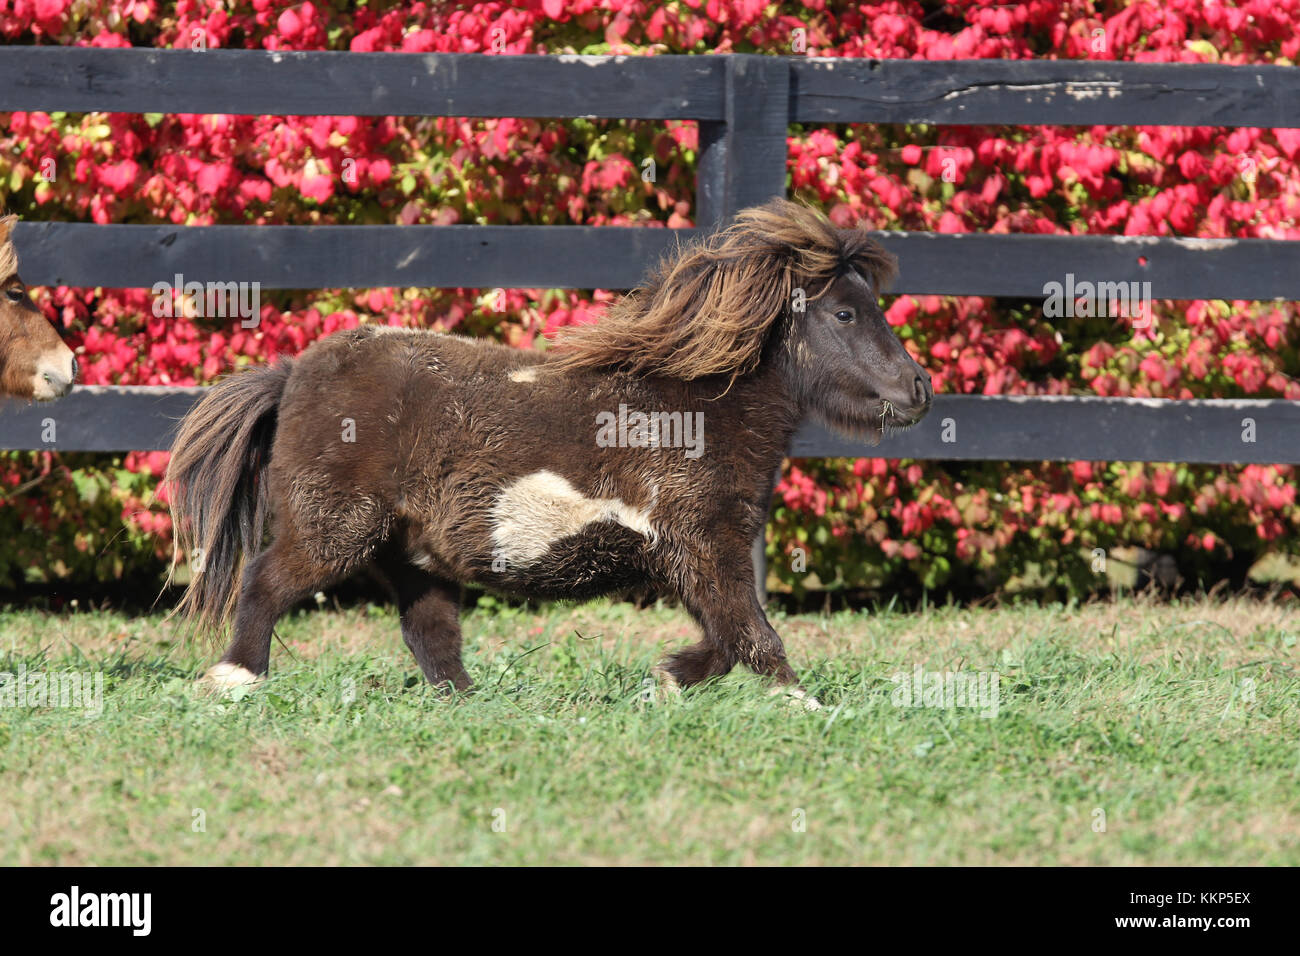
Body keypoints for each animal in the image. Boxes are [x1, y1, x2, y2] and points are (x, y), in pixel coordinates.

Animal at [166, 198, 933, 706]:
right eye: (845, 313)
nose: (919, 389)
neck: (693, 409)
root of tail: (293, 372)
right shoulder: (703, 542)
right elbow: (753, 632)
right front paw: (800, 701)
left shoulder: (696, 551)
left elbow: (727, 635)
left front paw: (666, 679)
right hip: (335, 529)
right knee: (265, 582)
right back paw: (234, 678)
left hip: (413, 555)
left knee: (431, 634)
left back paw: (473, 705)